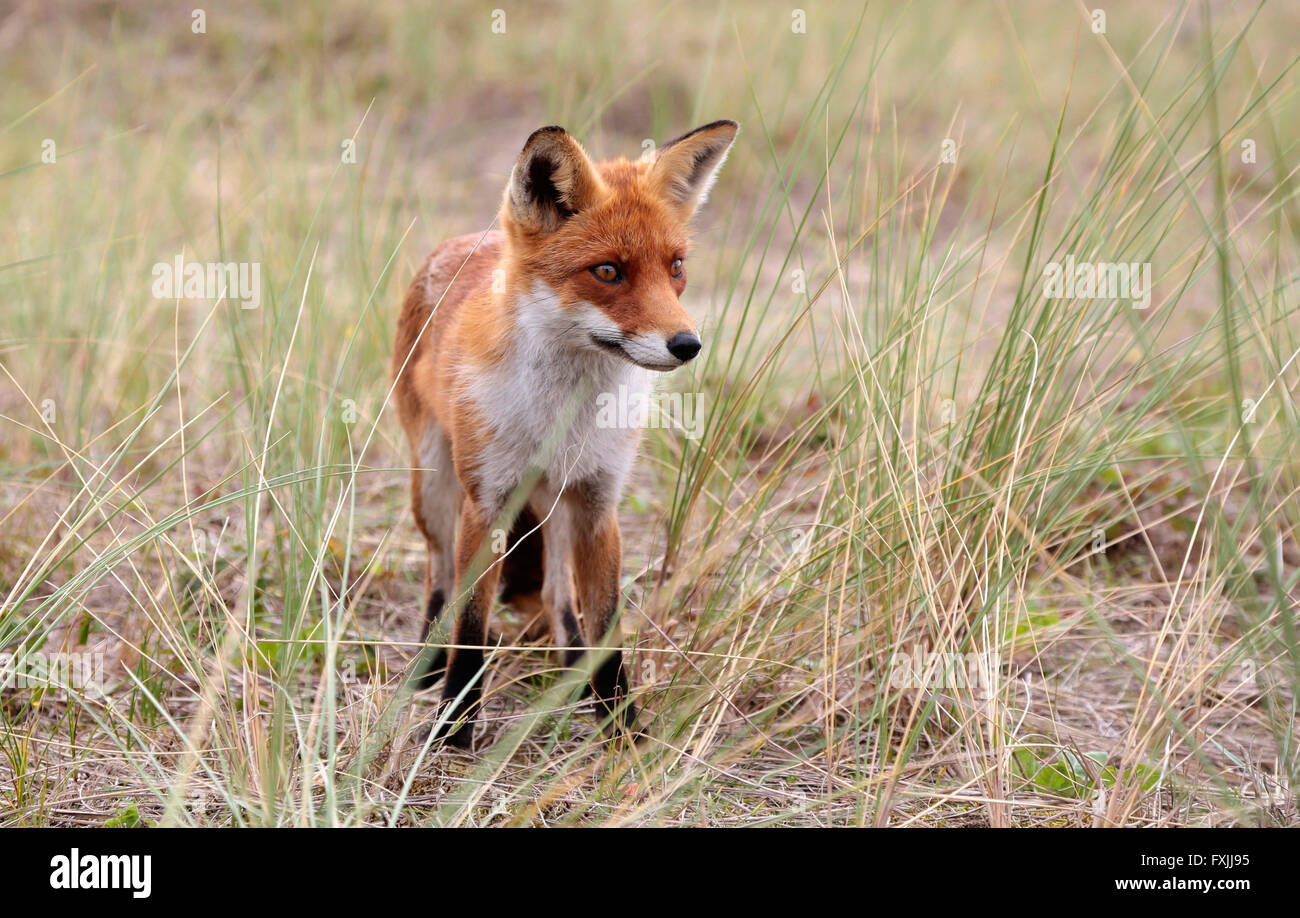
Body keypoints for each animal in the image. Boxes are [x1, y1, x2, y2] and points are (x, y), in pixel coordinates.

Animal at [392, 120, 738, 748]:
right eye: (608, 271)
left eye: (676, 266)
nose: (688, 345)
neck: (564, 415)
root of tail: (462, 240)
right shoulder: (486, 502)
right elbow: (471, 625)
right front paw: (454, 730)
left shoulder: (599, 502)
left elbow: (606, 627)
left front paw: (622, 729)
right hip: (434, 489)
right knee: (439, 579)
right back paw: (428, 664)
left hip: (555, 503)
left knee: (557, 594)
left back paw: (572, 668)